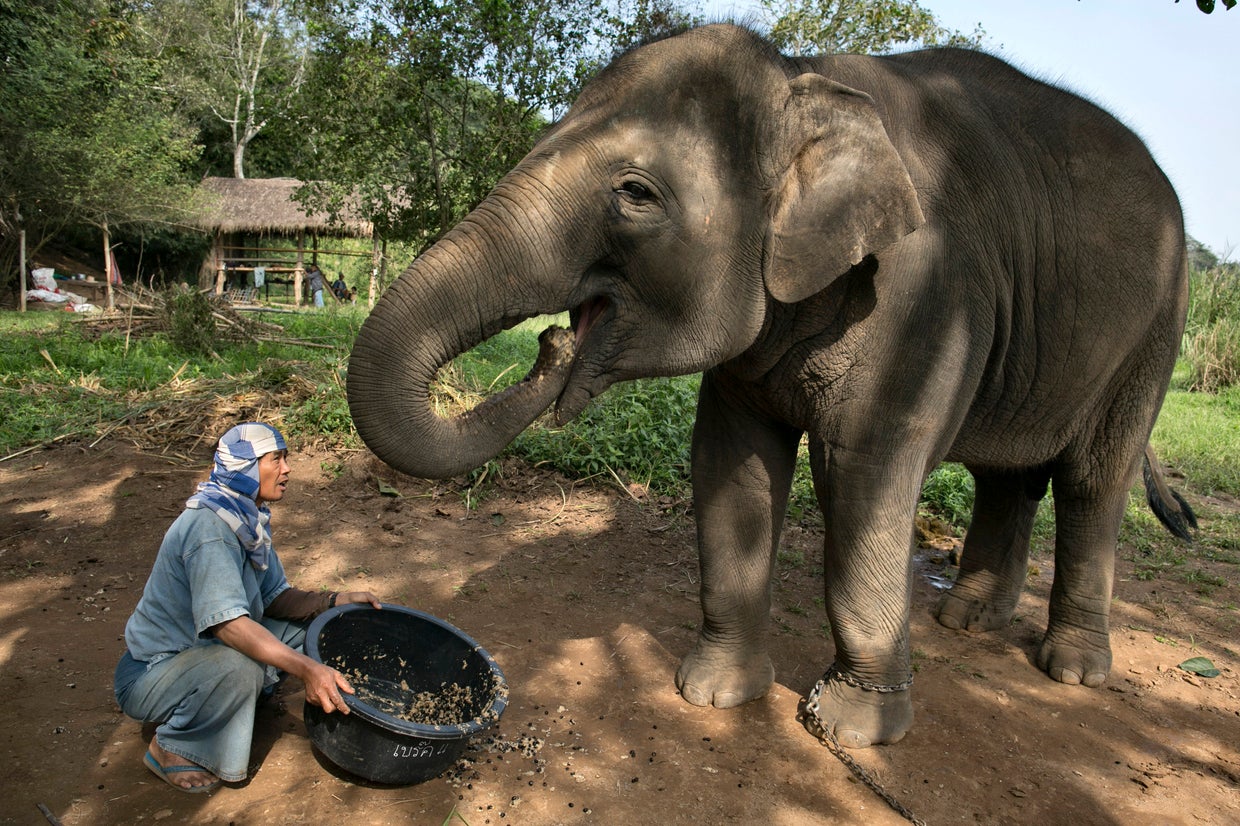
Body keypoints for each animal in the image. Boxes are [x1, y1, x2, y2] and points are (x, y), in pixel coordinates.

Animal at [346, 24, 1194, 749]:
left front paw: (852, 731)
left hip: (1158, 325)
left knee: (1092, 480)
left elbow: (864, 473)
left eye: (635, 193)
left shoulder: (924, 294)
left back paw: (1071, 668)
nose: (552, 346)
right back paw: (967, 620)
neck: (800, 81)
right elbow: (732, 462)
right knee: (1007, 474)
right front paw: (714, 693)